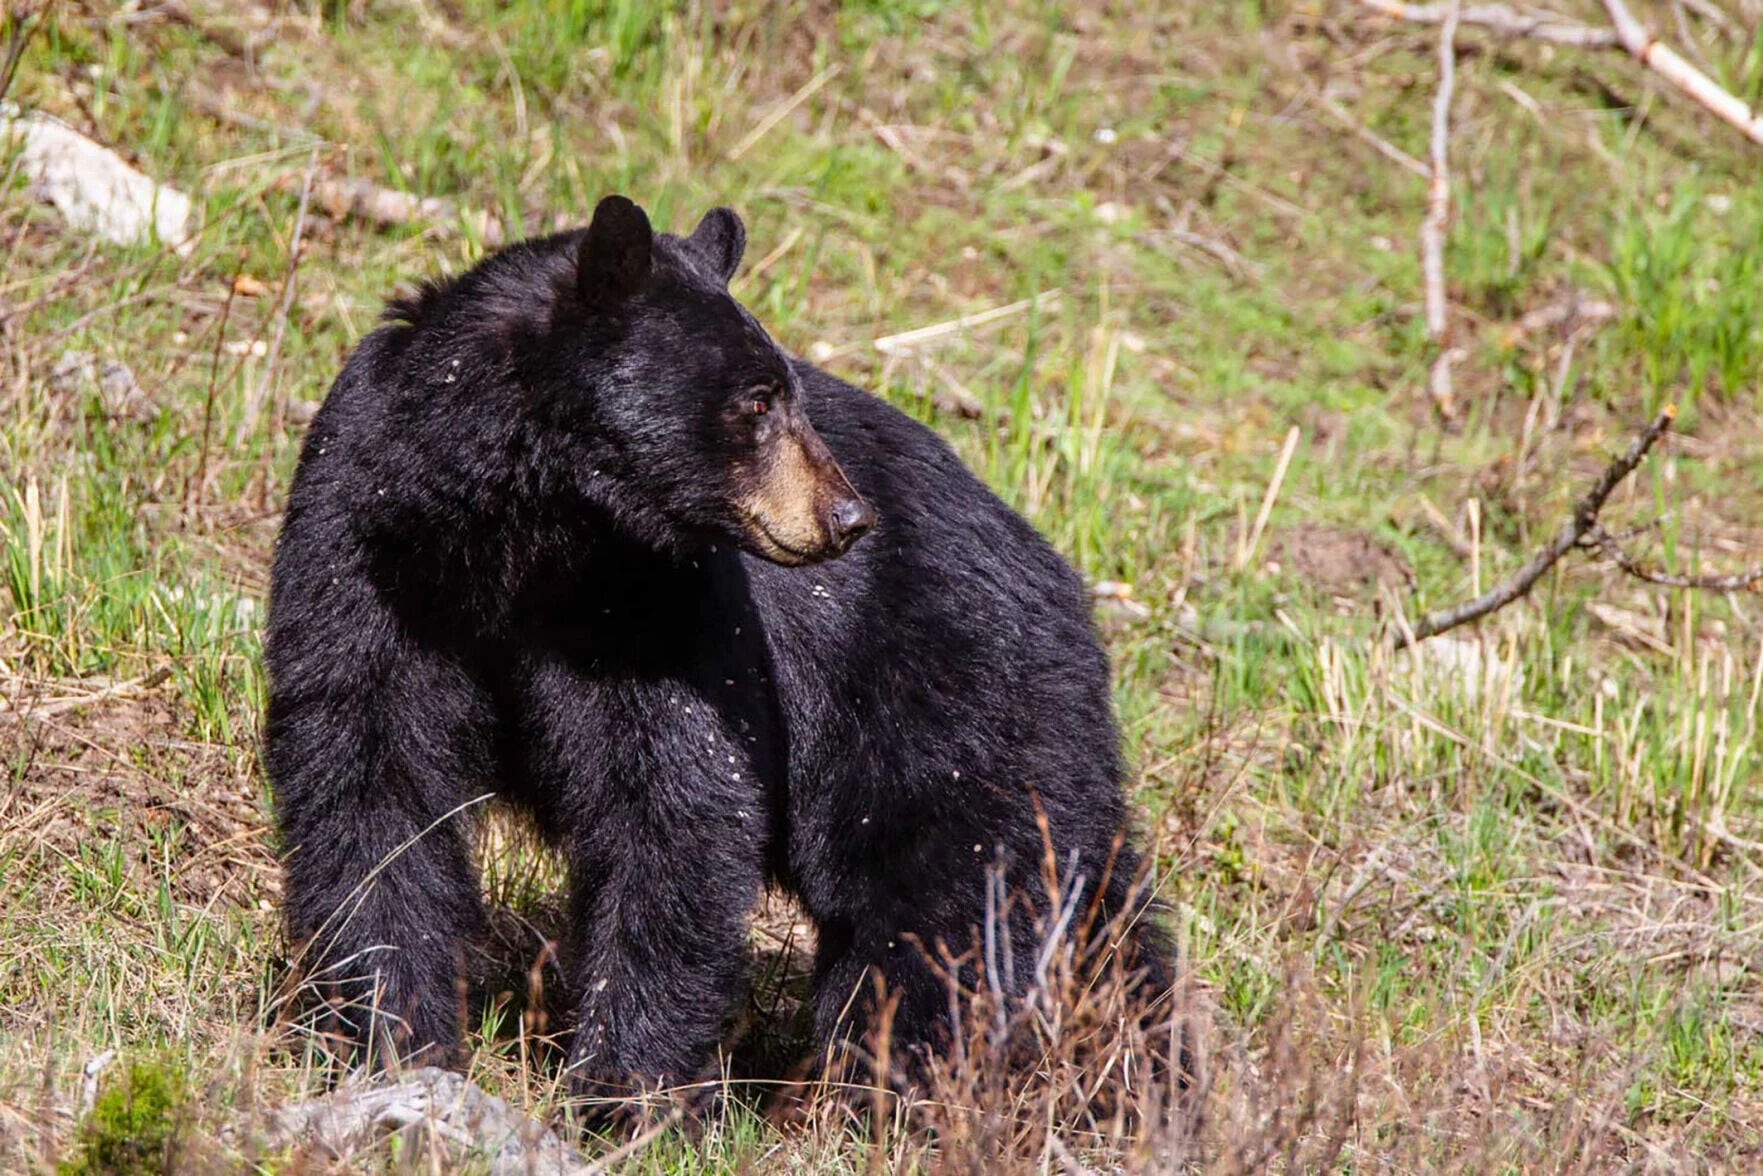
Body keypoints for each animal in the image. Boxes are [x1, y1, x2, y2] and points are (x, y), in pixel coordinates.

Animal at [265, 194, 1172, 1108]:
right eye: (758, 400)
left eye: (785, 392)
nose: (847, 515)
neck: (521, 536)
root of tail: (1065, 589)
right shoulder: (368, 540)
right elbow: (370, 775)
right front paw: (388, 1035)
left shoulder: (657, 602)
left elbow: (674, 802)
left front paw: (625, 1092)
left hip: (951, 702)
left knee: (952, 908)